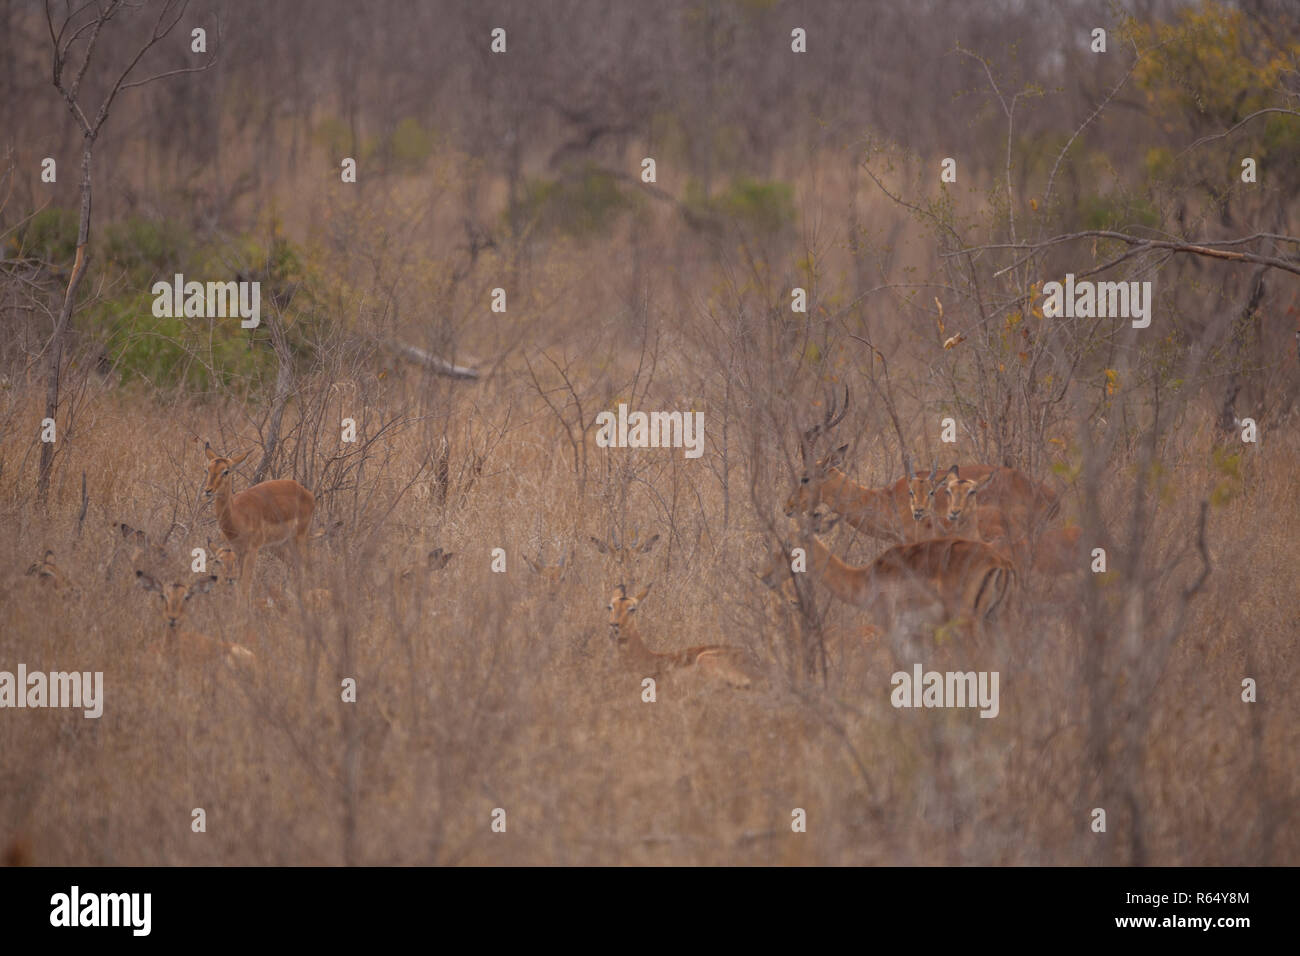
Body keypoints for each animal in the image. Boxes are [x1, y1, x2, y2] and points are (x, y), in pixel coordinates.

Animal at [202, 443, 315, 601]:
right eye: (207, 469)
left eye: (226, 471)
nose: (208, 490)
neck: (237, 516)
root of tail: (307, 493)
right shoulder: (238, 551)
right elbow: (239, 586)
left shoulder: (252, 550)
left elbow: (245, 586)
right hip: (278, 546)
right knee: (295, 567)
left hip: (299, 539)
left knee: (306, 568)